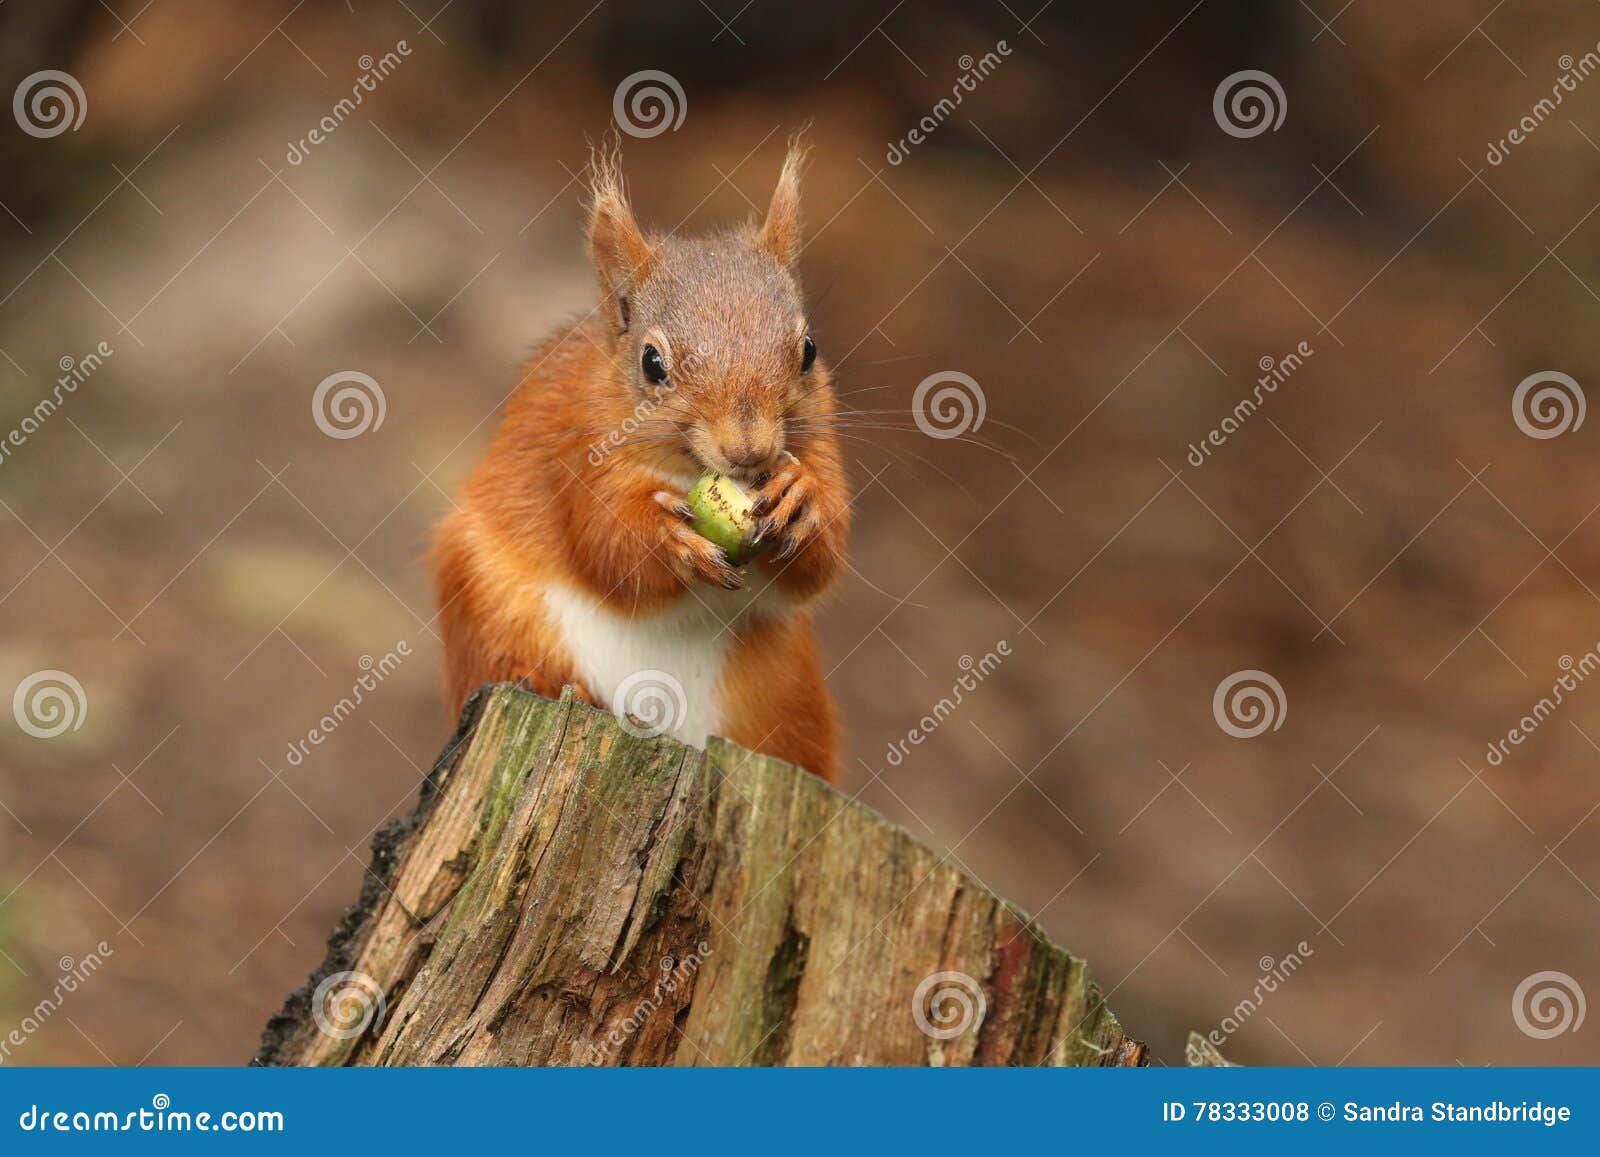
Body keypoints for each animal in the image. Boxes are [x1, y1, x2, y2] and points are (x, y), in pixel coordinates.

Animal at [432, 139, 849, 782]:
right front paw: (664, 539)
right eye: (653, 363)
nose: (749, 449)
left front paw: (801, 497)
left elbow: (823, 559)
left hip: (785, 696)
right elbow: (606, 543)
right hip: (487, 603)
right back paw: (540, 680)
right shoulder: (575, 452)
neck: (684, 470)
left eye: (808, 351)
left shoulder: (822, 445)